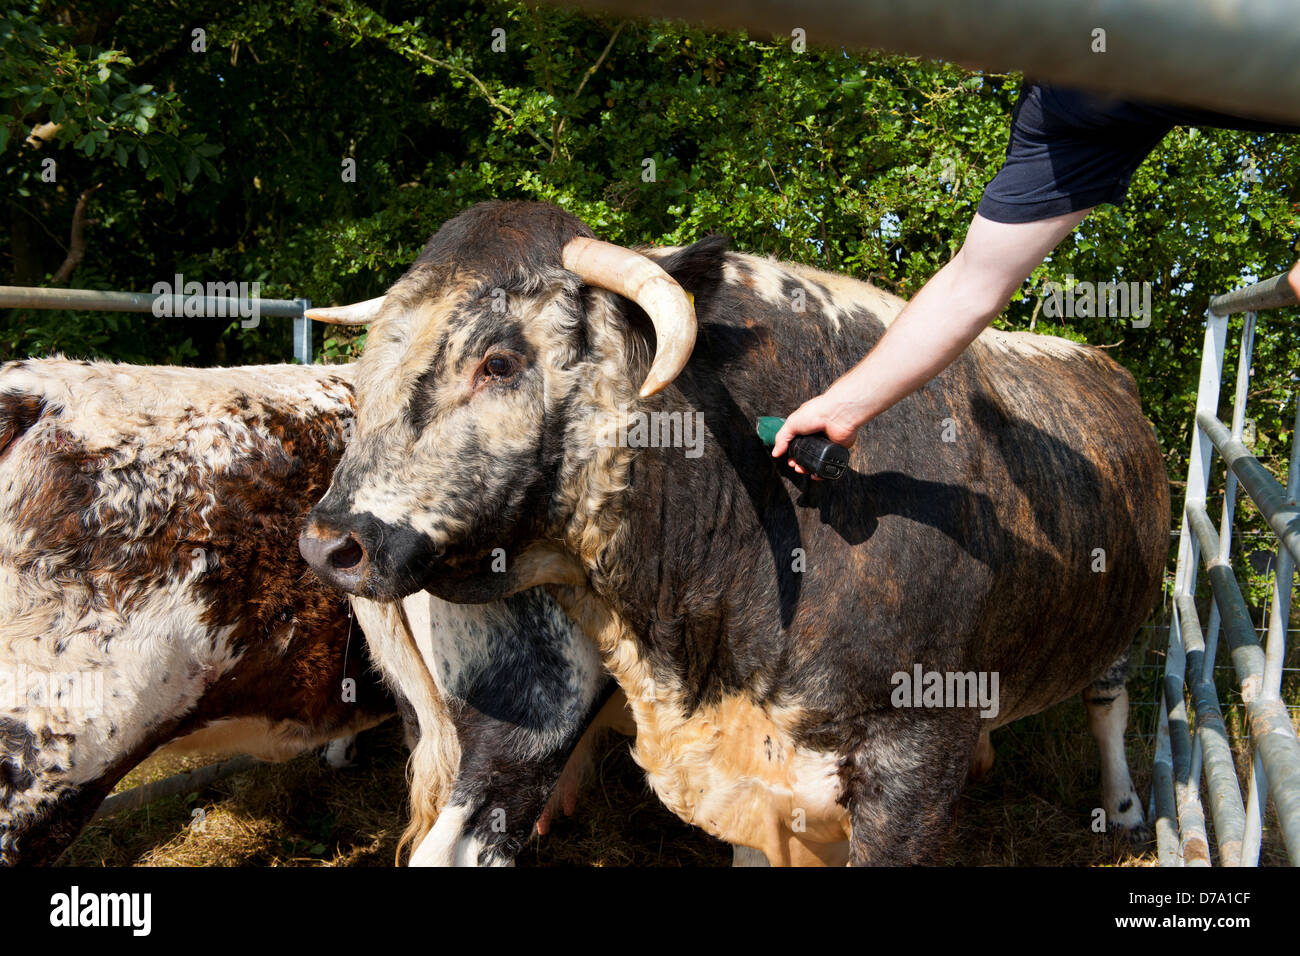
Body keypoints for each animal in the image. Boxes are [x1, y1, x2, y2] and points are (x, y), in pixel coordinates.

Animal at [300, 200, 1168, 866]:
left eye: (502, 362)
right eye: (375, 358)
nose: (329, 544)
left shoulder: (915, 755)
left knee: (1109, 699)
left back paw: (1125, 810)